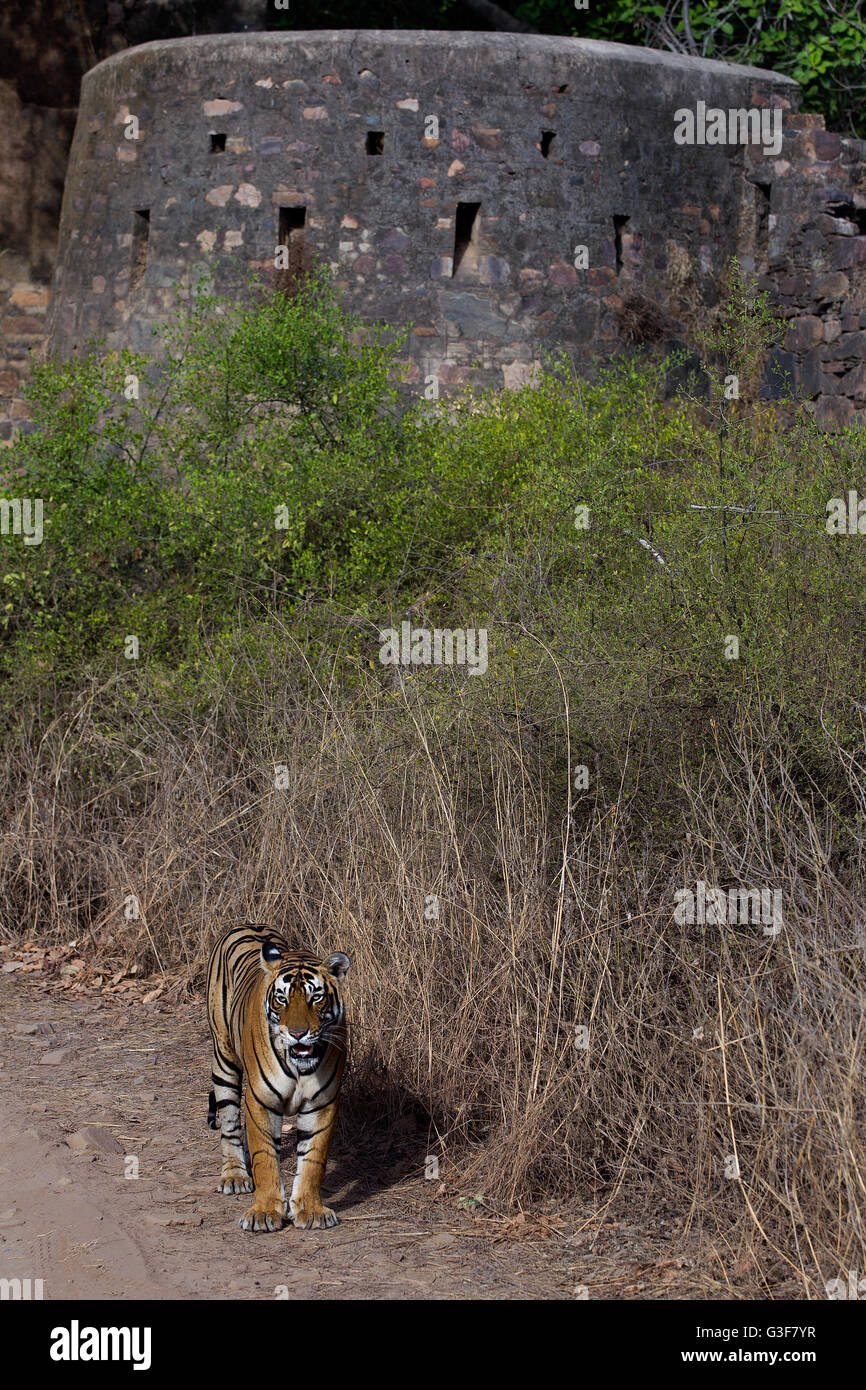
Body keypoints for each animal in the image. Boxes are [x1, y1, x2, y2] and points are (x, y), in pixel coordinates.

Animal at [206, 923, 350, 1232]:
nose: (297, 1033)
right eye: (281, 999)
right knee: (229, 1122)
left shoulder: (323, 1103)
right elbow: (264, 1158)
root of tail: (249, 923)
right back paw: (235, 1176)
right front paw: (263, 1213)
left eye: (315, 997)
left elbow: (313, 1159)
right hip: (224, 1059)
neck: (300, 1068)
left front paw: (311, 1210)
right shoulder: (260, 1101)